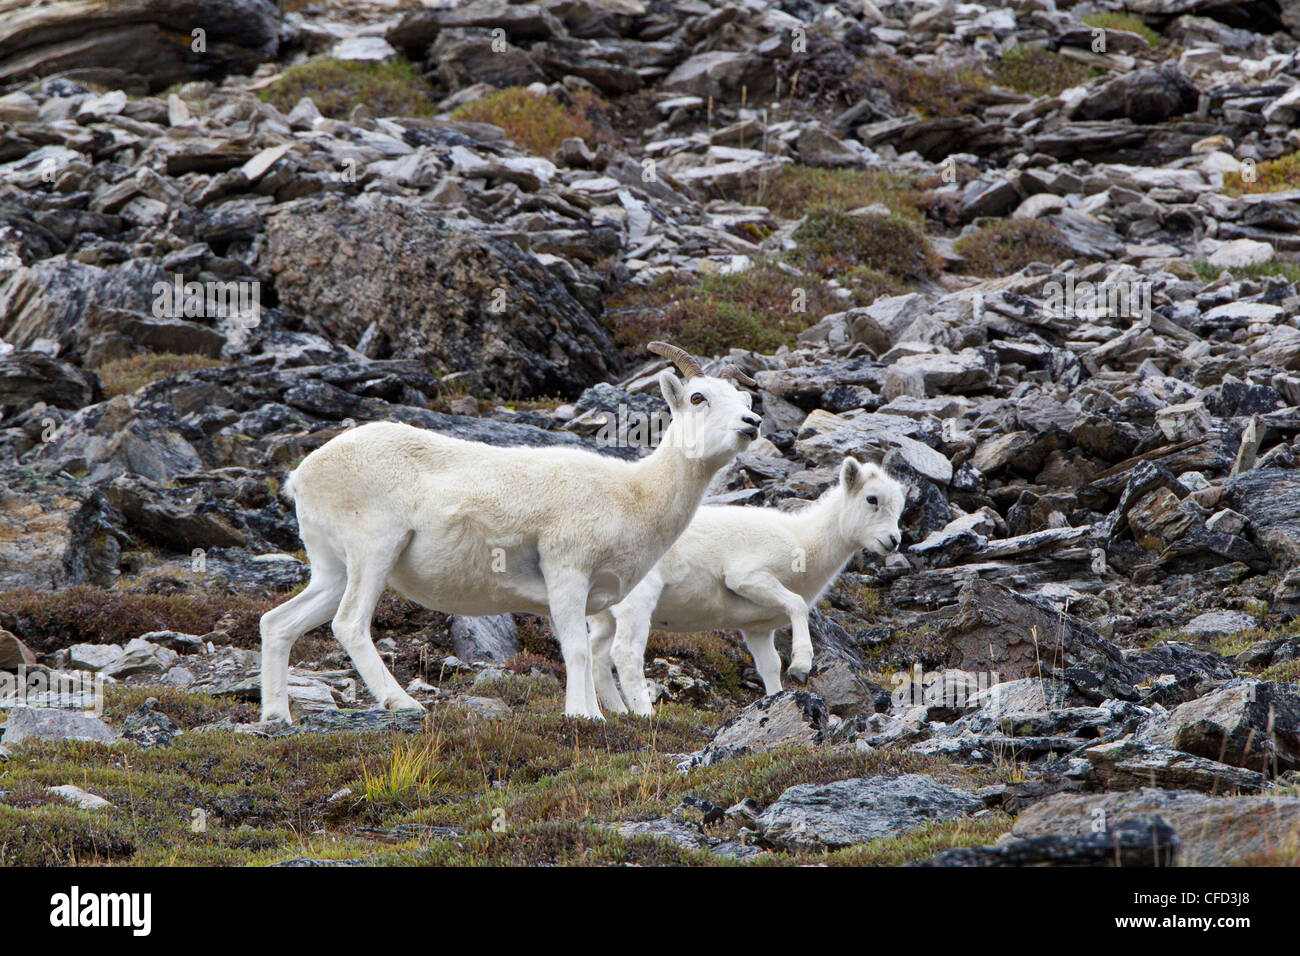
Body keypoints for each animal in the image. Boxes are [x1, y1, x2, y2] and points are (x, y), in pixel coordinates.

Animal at [257, 343, 762, 723]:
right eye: (697, 398)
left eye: (747, 403)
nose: (752, 425)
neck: (635, 494)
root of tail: (302, 476)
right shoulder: (566, 573)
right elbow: (577, 651)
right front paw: (585, 717)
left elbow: (589, 653)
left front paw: (601, 714)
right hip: (373, 551)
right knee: (349, 624)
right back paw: (404, 704)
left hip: (331, 570)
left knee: (277, 624)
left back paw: (276, 717)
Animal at [587, 458, 907, 716]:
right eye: (872, 499)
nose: (893, 540)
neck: (803, 541)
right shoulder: (746, 577)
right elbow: (797, 604)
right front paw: (801, 664)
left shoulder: (758, 630)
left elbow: (771, 667)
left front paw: (777, 700)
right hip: (637, 600)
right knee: (626, 654)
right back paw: (644, 714)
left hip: (604, 614)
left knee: (596, 657)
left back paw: (617, 713)